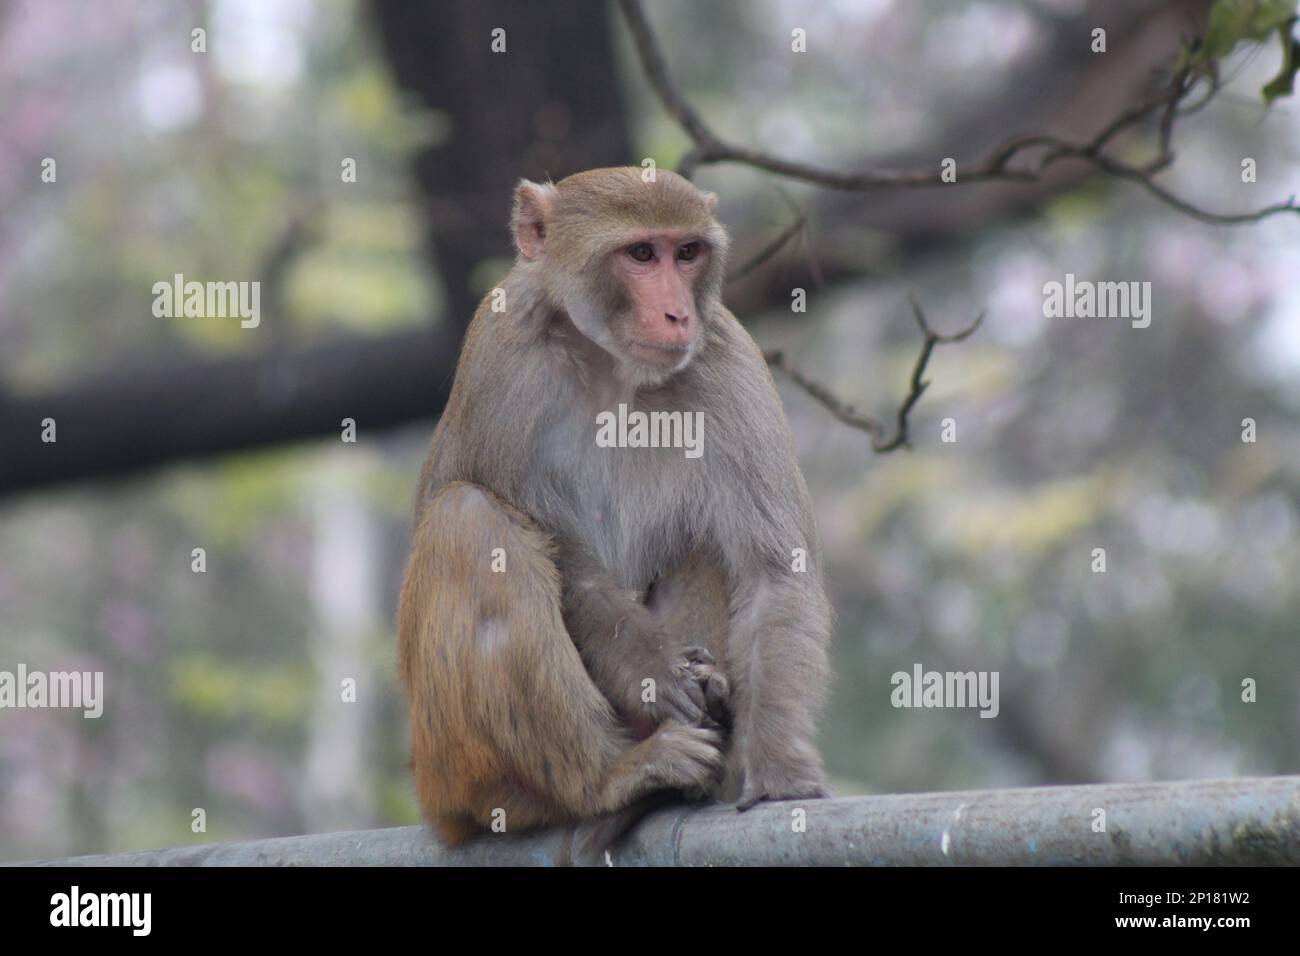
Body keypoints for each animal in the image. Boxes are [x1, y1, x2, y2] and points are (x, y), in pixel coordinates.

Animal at [397, 166, 832, 846]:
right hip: (447, 768)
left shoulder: (726, 356)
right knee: (467, 519)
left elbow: (772, 572)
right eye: (642, 254)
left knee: (704, 545)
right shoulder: (499, 351)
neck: (612, 367)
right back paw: (607, 780)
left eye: (688, 252)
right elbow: (553, 549)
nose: (678, 313)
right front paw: (648, 667)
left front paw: (781, 771)